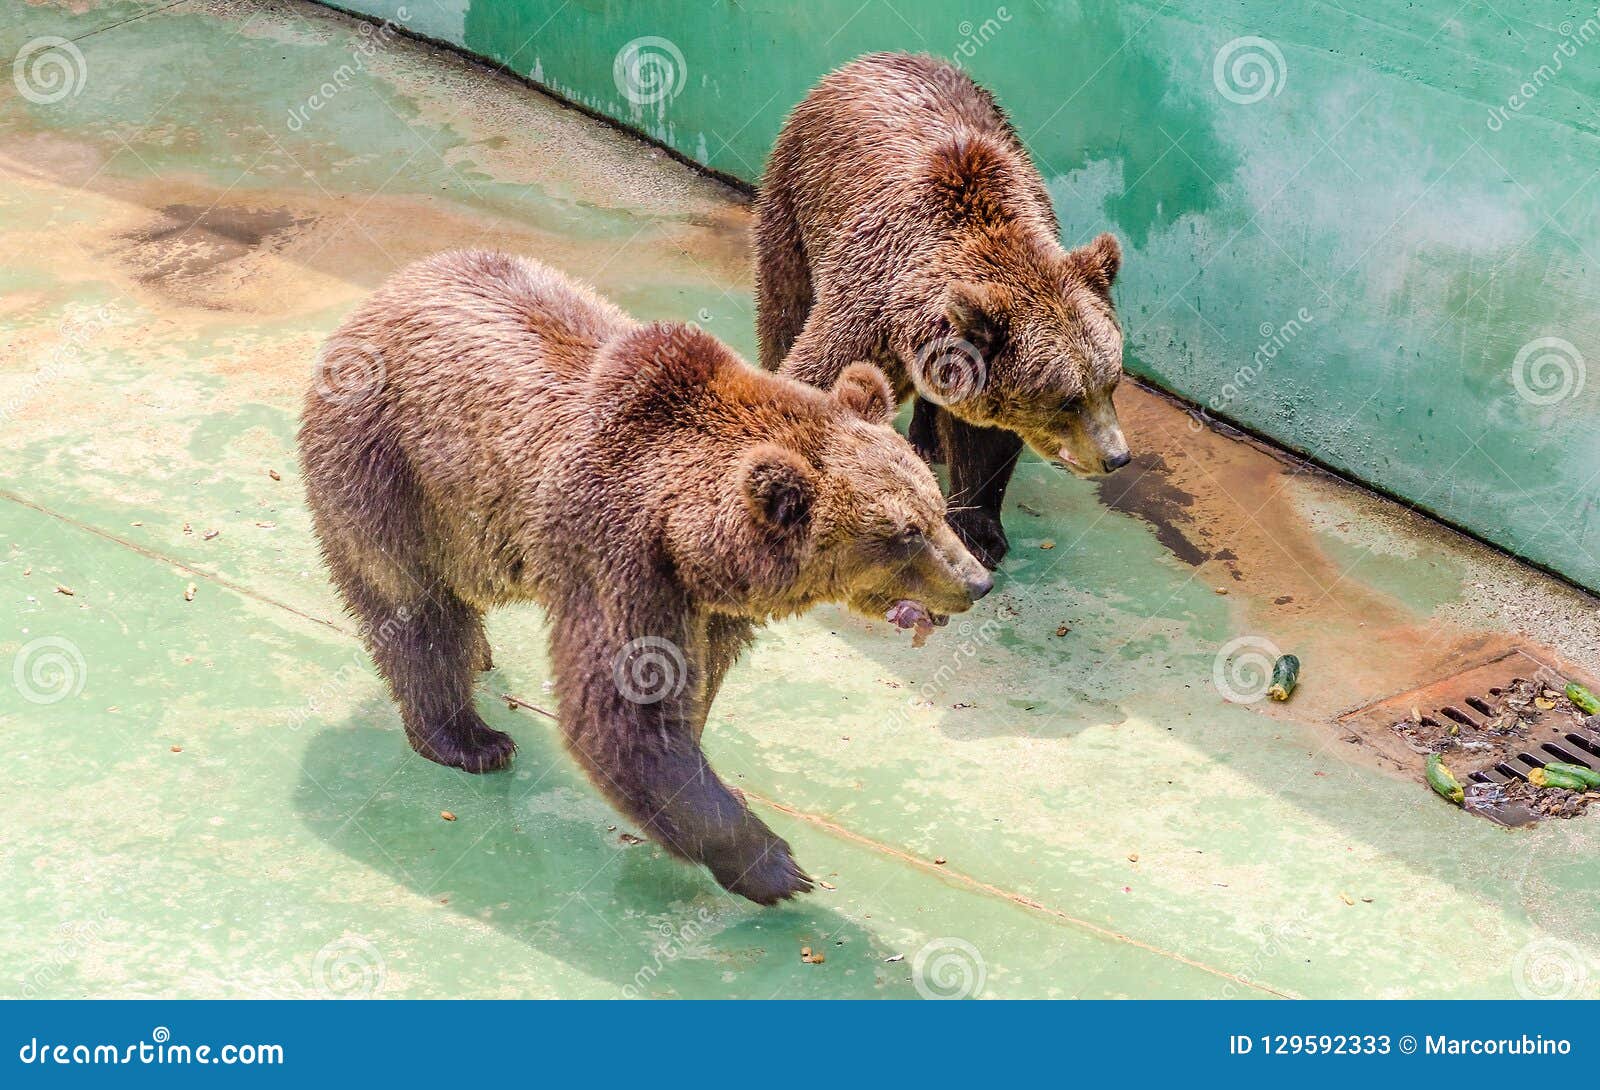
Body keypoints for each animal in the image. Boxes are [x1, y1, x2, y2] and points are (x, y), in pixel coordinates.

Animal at [298, 250, 993, 904]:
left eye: (937, 509)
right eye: (906, 533)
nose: (977, 582)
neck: (691, 540)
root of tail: (379, 296)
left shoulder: (710, 603)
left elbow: (695, 683)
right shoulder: (615, 552)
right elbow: (622, 710)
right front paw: (773, 864)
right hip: (390, 466)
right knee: (411, 601)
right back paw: (468, 736)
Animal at [754, 51, 1132, 569]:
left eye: (1109, 383)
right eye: (1068, 399)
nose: (1116, 457)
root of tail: (874, 58)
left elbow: (986, 446)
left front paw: (980, 533)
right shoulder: (868, 301)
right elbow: (820, 377)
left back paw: (929, 437)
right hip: (798, 195)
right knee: (784, 305)